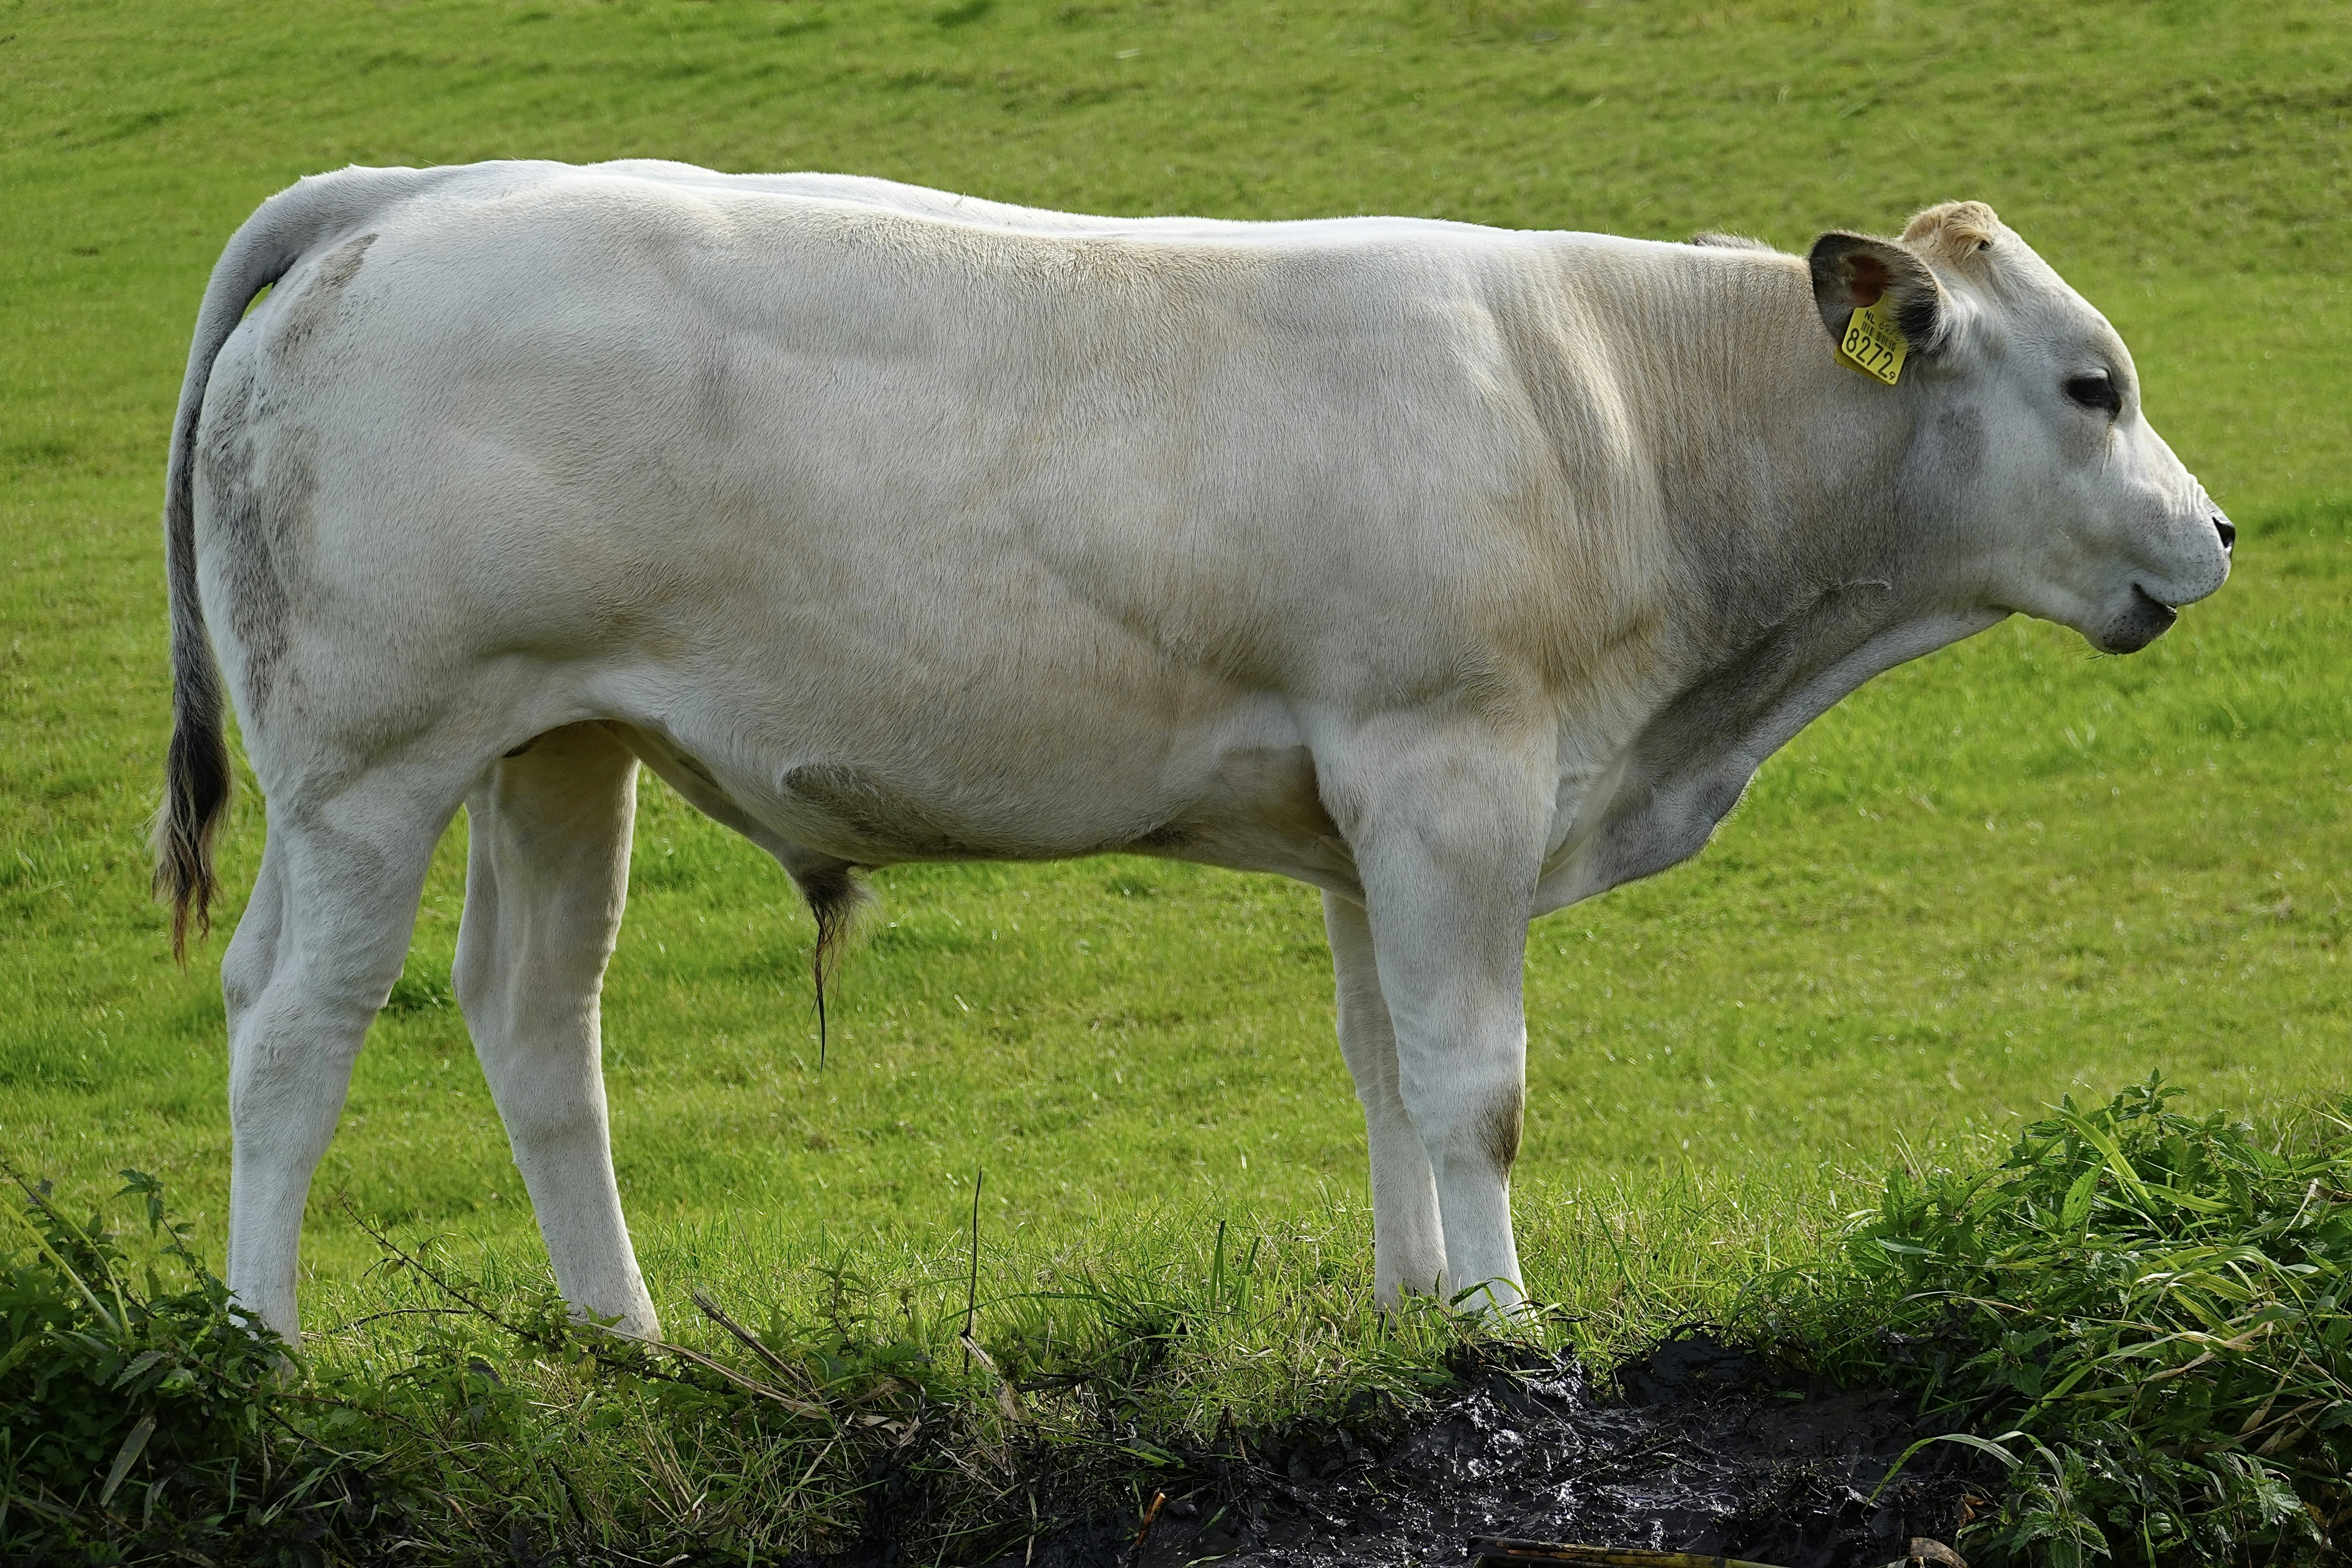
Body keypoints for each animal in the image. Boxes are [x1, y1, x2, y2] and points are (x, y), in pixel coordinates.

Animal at [152, 161, 2232, 1341]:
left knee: (534, 1018)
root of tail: (392, 207)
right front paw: (1505, 1319)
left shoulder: (1373, 805)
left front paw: (1415, 1309)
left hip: (558, 741)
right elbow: (1473, 1084)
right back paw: (263, 1348)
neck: (1624, 421)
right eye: (2091, 385)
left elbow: (1385, 1065)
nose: (2210, 532)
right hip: (368, 760)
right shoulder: (1451, 767)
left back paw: (624, 1339)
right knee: (290, 1024)